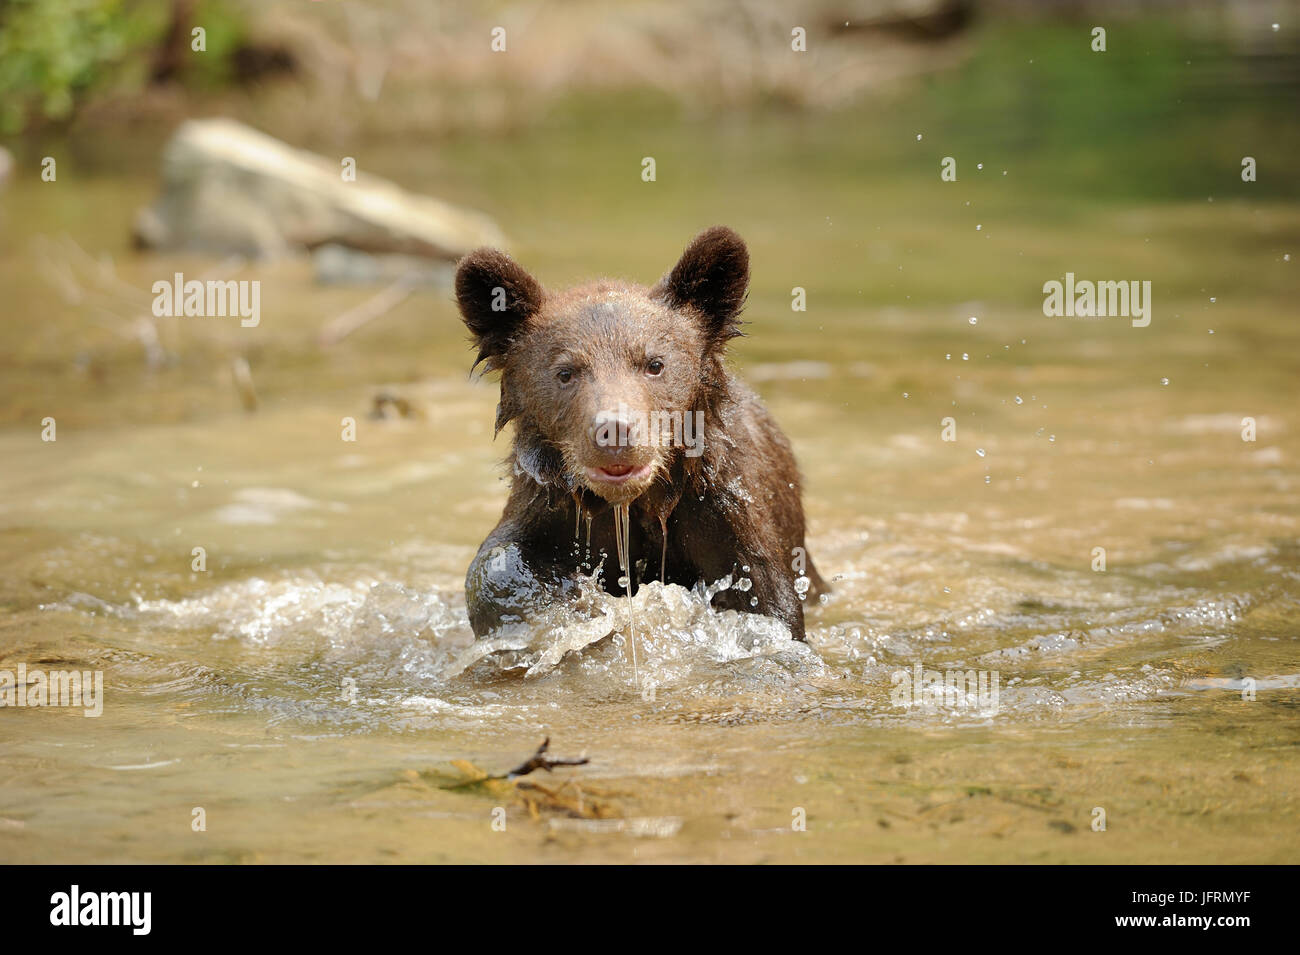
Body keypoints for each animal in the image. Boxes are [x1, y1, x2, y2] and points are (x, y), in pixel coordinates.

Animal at [455, 226, 827, 642]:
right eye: (565, 372)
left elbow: (763, 595)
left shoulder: (721, 508)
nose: (614, 431)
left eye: (655, 364)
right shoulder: (549, 504)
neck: (635, 504)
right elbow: (497, 559)